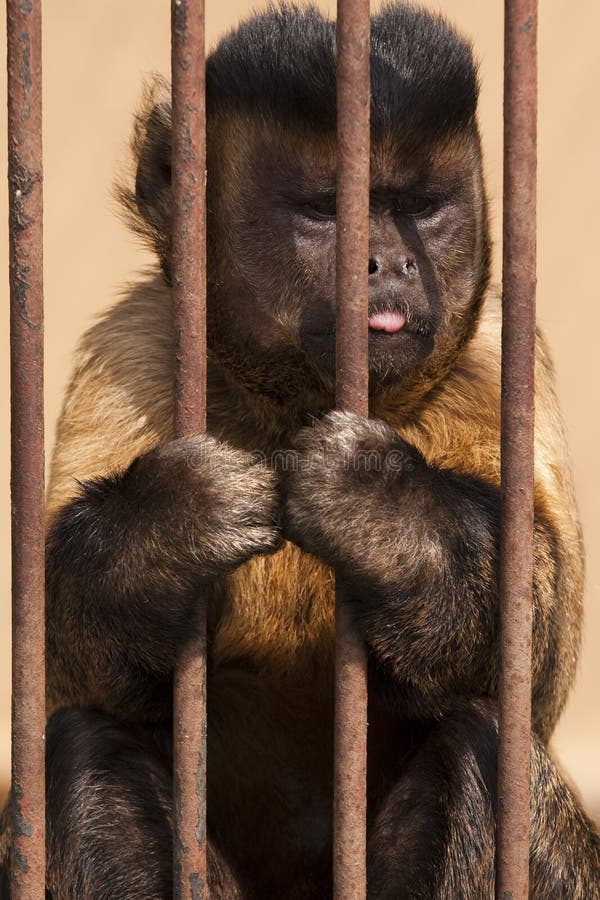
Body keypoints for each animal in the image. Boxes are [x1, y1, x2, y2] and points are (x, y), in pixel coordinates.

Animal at [1, 3, 600, 898]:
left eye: (419, 207)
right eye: (324, 212)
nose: (385, 262)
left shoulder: (498, 355)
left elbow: (535, 653)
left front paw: (386, 511)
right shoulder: (140, 342)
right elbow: (61, 667)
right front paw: (165, 525)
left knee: (485, 743)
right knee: (80, 747)